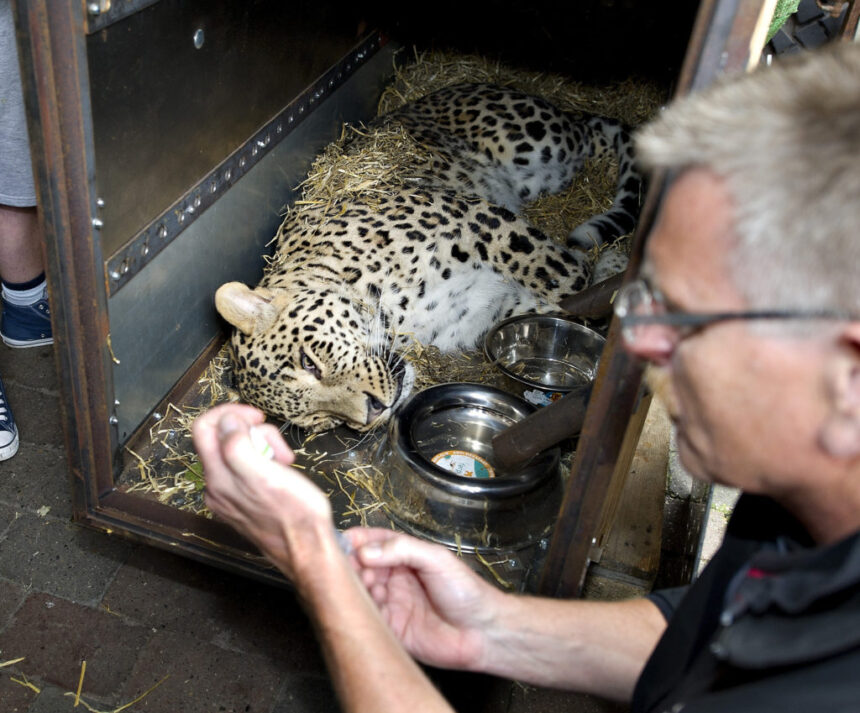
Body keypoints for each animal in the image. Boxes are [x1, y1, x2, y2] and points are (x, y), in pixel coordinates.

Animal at [215, 83, 642, 433]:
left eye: (309, 362)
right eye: (319, 421)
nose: (374, 411)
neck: (398, 316)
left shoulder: (476, 222)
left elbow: (561, 275)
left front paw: (607, 278)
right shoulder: (496, 309)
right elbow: (563, 305)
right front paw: (609, 283)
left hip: (537, 142)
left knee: (602, 128)